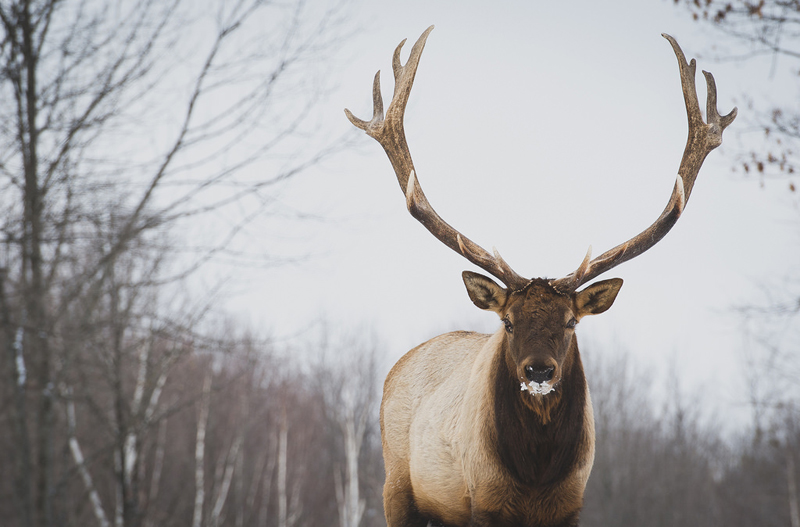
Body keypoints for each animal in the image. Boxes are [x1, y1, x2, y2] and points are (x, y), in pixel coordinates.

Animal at [345, 26, 736, 527]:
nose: (538, 370)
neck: (535, 478)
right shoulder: (482, 501)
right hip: (397, 485)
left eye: (570, 322)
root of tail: (399, 367)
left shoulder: (571, 504)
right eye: (508, 322)